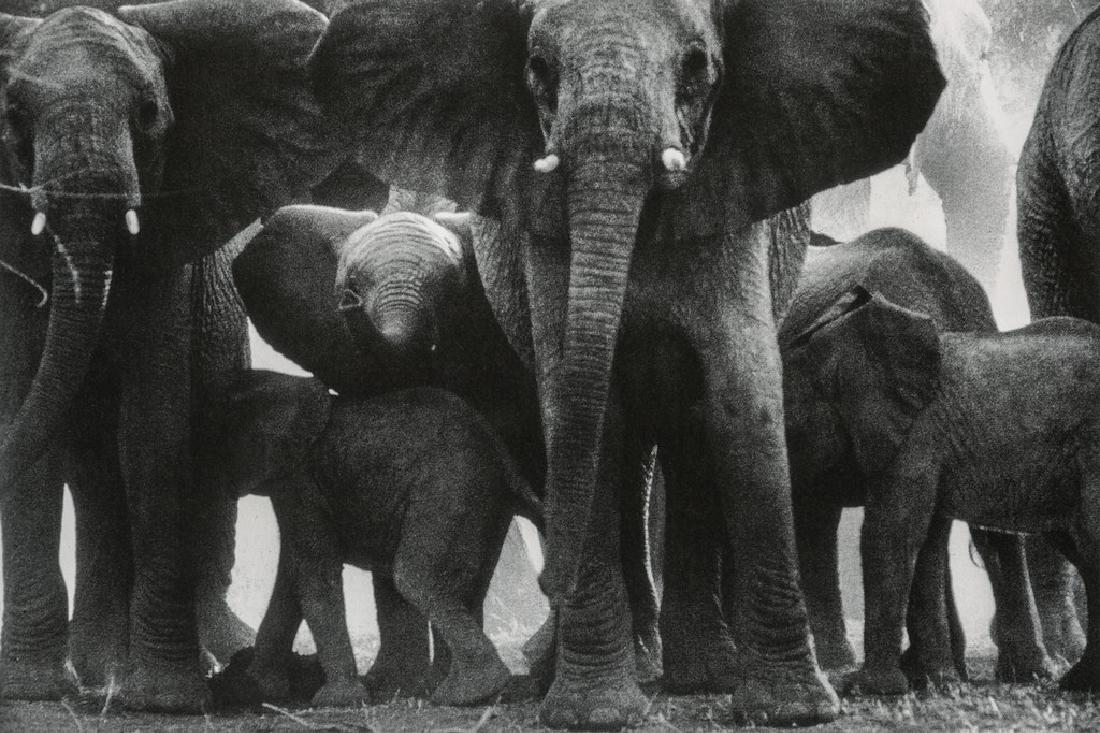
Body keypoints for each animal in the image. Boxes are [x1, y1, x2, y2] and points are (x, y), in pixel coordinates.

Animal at [0, 0, 340, 712]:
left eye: (149, 113)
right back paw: (99, 670)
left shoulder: (171, 244)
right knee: (93, 477)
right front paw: (31, 691)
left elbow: (153, 432)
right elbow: (24, 410)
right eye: (13, 116)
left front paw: (163, 699)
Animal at [206, 371, 542, 708]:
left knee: (414, 578)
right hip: (485, 502)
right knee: (467, 586)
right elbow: (294, 576)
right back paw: (447, 689)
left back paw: (468, 691)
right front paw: (254, 688)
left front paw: (335, 700)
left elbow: (313, 574)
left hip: (452, 486)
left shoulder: (299, 480)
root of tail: (503, 456)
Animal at [309, 0, 944, 726]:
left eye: (698, 67)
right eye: (538, 68)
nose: (547, 580)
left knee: (686, 440)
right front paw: (594, 712)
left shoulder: (735, 202)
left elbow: (742, 395)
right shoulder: (546, 235)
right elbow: (583, 405)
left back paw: (699, 676)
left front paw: (793, 711)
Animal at [785, 289, 1100, 694]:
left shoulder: (918, 436)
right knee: (1082, 551)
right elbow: (926, 546)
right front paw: (937, 682)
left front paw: (871, 688)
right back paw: (1078, 683)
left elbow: (890, 535)